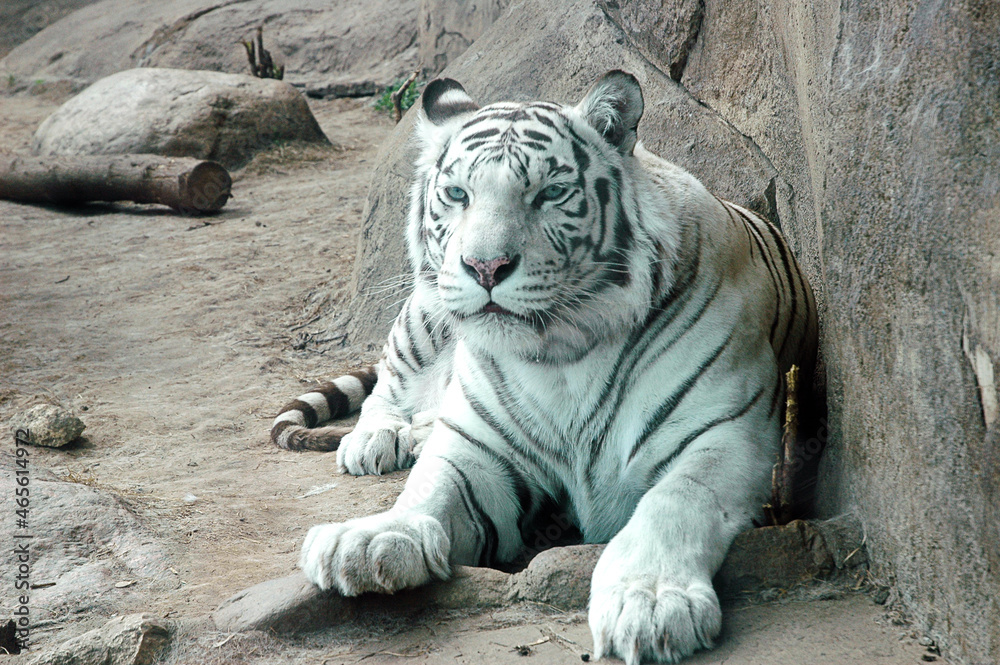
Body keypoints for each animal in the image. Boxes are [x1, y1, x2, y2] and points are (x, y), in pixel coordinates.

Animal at [271, 70, 818, 664]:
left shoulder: (725, 435)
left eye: (550, 193)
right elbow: (430, 486)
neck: (562, 353)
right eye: (458, 194)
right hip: (424, 309)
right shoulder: (480, 449)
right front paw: (371, 538)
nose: (485, 266)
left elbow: (676, 502)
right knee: (384, 391)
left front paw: (649, 601)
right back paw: (376, 440)